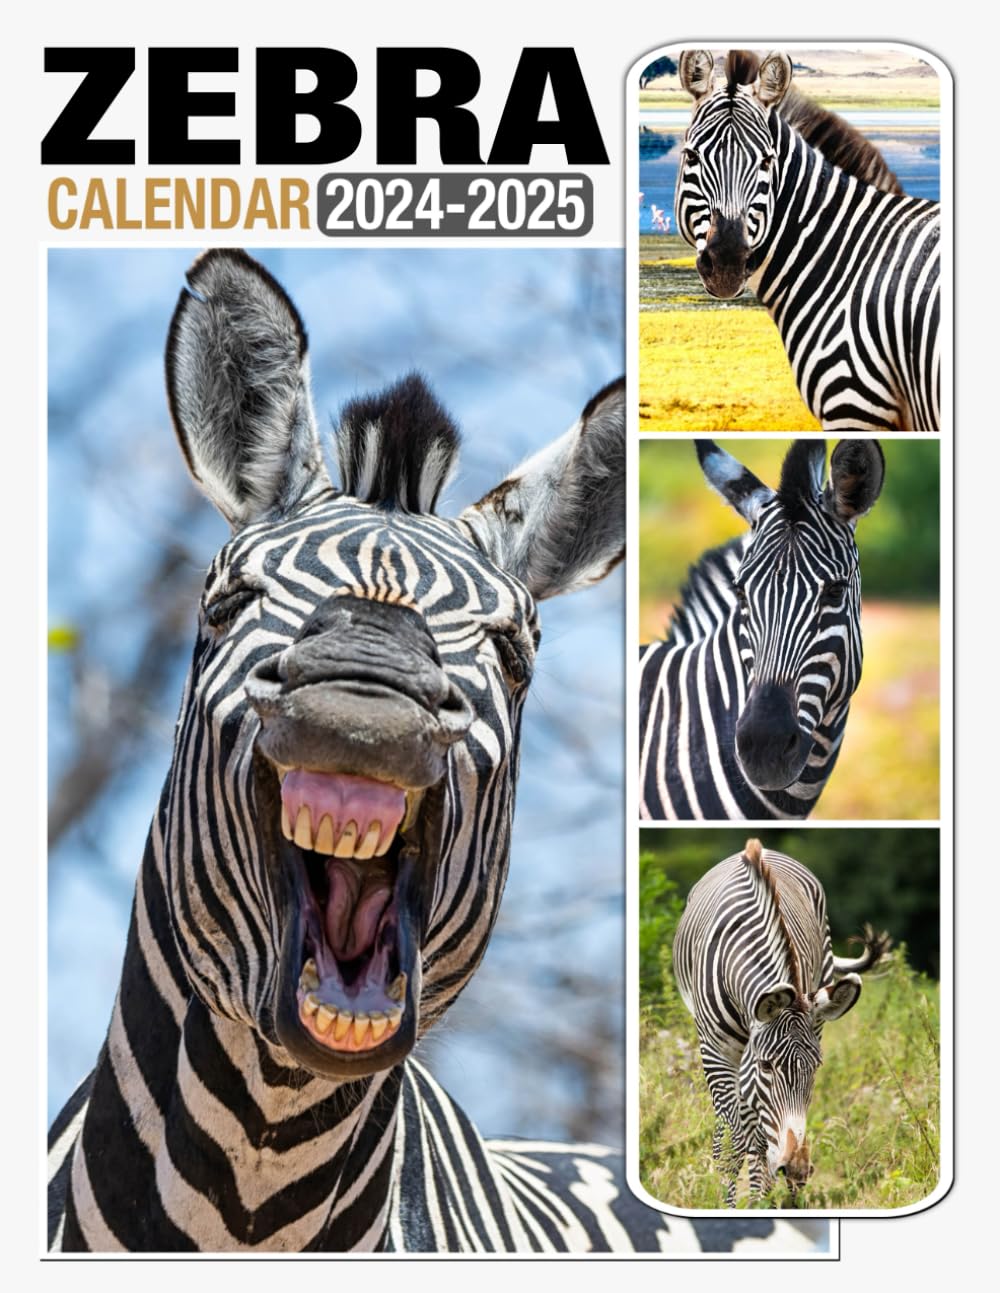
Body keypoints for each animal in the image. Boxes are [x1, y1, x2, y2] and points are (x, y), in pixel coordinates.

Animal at [672, 837, 890, 1204]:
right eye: (767, 1066)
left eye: (816, 1068)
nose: (798, 1171)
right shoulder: (716, 1053)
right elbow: (731, 1146)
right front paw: (725, 1203)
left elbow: (760, 1142)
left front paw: (760, 1201)